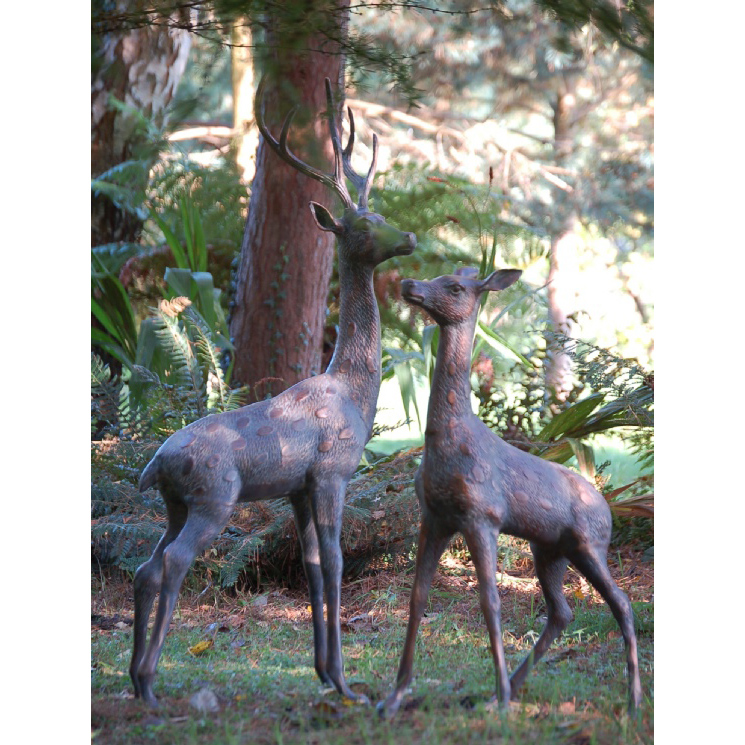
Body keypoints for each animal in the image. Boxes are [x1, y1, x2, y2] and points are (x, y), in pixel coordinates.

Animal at [130, 76, 417, 708]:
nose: (408, 236)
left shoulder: (296, 489)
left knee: (145, 566)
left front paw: (326, 674)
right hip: (214, 496)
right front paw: (348, 685)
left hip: (175, 504)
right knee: (174, 563)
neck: (354, 390)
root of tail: (155, 466)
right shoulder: (332, 471)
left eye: (383, 212)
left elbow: (310, 567)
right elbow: (334, 563)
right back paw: (151, 681)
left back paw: (138, 680)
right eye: (361, 227)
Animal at [378, 267, 642, 717]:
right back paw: (516, 687)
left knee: (620, 602)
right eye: (440, 274)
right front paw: (393, 698)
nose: (410, 285)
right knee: (562, 612)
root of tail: (607, 507)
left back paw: (632, 700)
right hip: (549, 549)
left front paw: (498, 699)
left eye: (455, 287)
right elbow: (417, 597)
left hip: (589, 544)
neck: (449, 443)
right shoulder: (434, 516)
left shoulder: (482, 516)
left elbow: (490, 601)